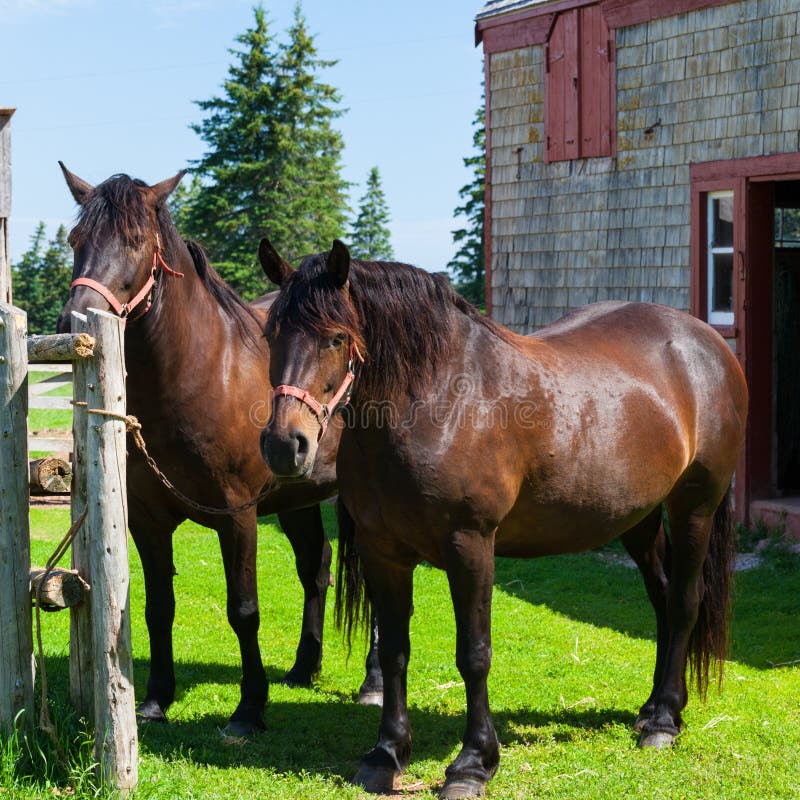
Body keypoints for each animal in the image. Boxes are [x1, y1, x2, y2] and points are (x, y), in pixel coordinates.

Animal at [55, 168, 382, 736]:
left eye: (136, 241)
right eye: (76, 241)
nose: (73, 321)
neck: (198, 374)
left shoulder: (239, 515)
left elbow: (244, 610)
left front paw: (249, 709)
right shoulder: (148, 519)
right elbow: (158, 607)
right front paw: (156, 698)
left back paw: (372, 683)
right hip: (296, 497)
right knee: (316, 565)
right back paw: (304, 667)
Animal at [258, 239, 748, 799]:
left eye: (337, 337)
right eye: (271, 334)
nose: (284, 445)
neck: (438, 399)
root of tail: (707, 343)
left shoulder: (470, 546)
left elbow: (473, 654)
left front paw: (473, 764)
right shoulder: (385, 551)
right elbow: (396, 651)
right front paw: (386, 754)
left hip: (694, 507)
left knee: (685, 602)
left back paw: (664, 722)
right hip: (636, 518)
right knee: (663, 599)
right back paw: (653, 710)